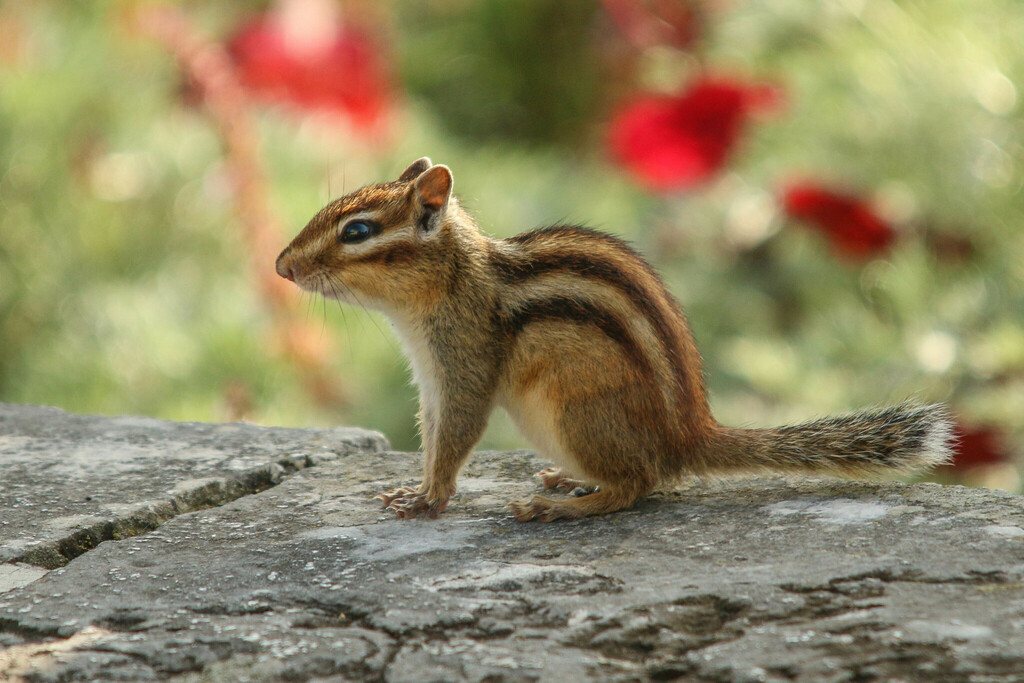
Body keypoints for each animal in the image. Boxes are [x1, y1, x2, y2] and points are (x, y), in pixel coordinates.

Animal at [275, 157, 954, 522]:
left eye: (358, 231)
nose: (281, 267)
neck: (451, 284)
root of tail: (689, 436)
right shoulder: (431, 377)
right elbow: (432, 431)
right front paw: (415, 488)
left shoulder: (465, 363)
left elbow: (458, 434)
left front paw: (428, 499)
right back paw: (565, 482)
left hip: (576, 411)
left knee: (636, 487)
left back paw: (562, 506)